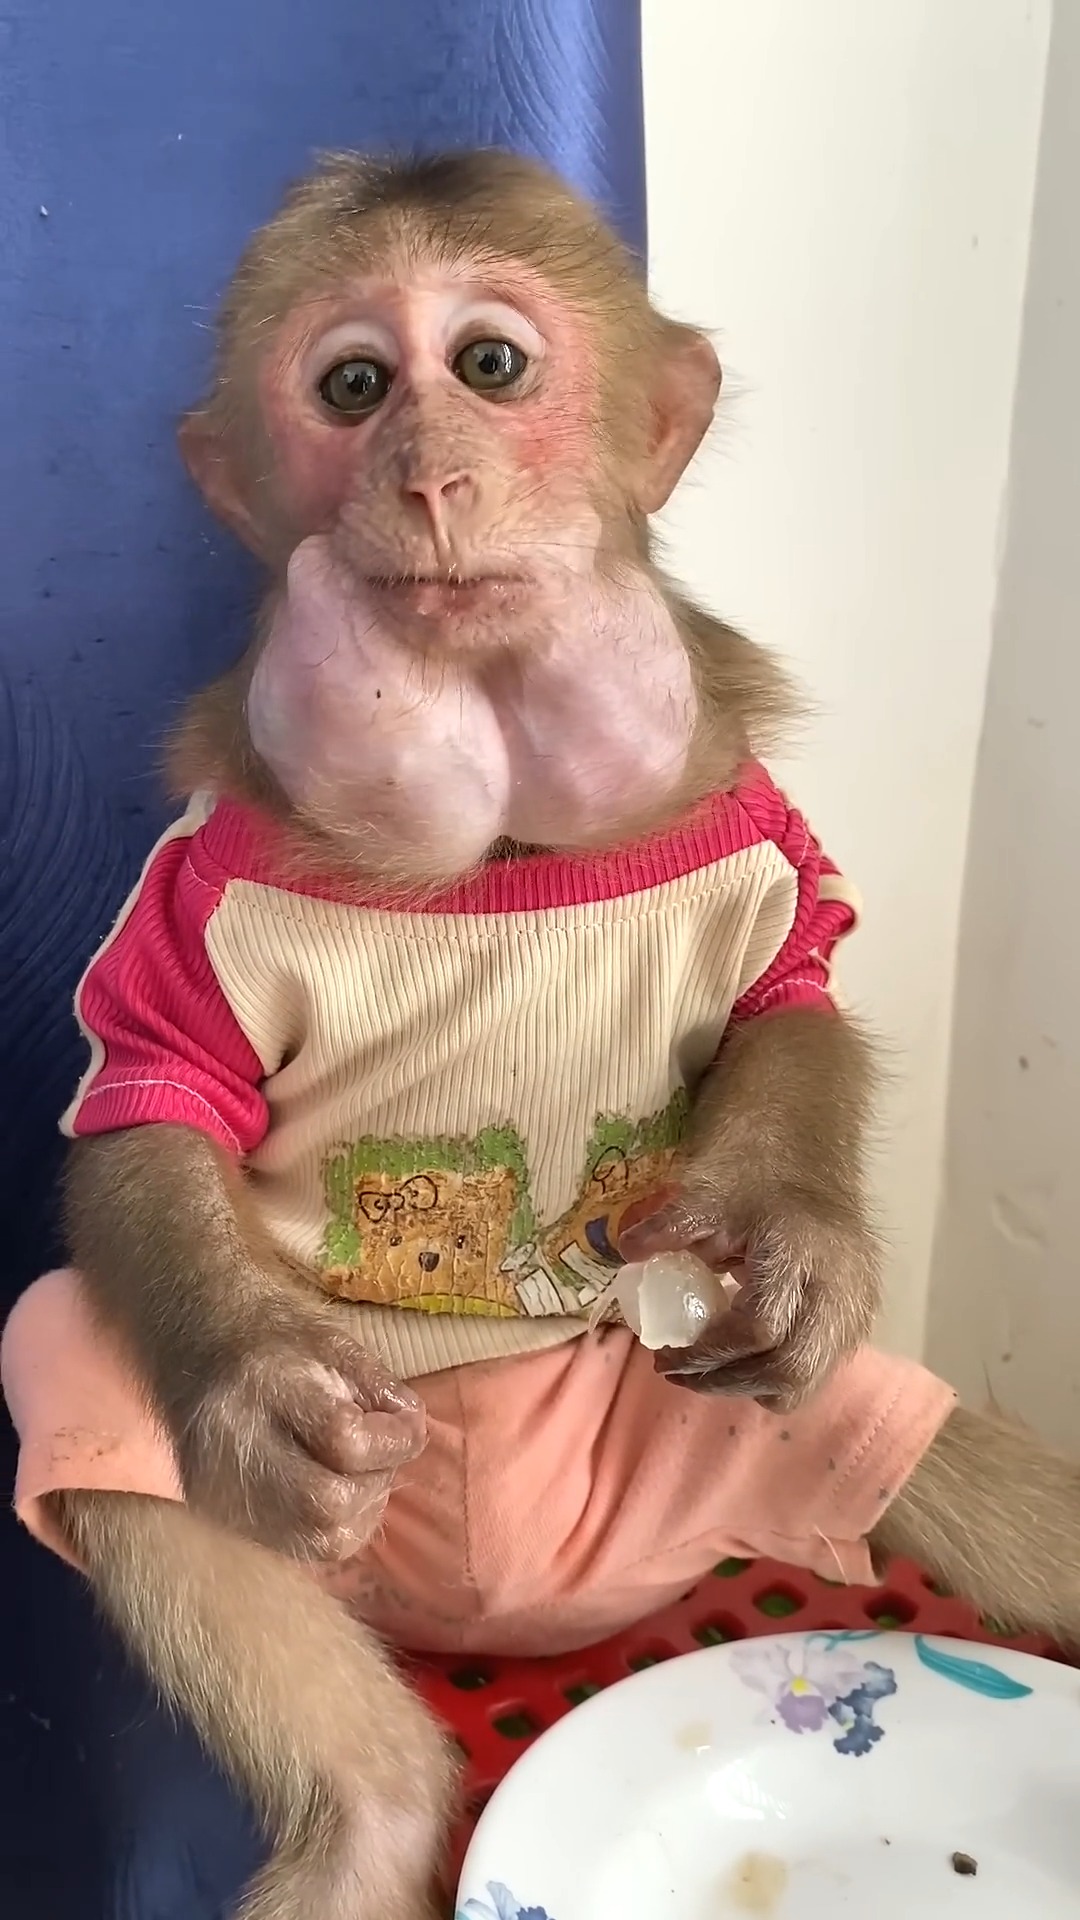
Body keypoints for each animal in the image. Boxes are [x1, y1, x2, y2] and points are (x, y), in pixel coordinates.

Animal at [4, 149, 1080, 1920]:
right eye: (353, 386)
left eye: (490, 366)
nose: (431, 475)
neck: (504, 842)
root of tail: (528, 1615)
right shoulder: (207, 875)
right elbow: (155, 1105)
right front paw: (257, 1392)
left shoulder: (736, 815)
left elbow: (794, 1000)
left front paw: (797, 1232)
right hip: (368, 1555)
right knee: (80, 1379)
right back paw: (371, 1814)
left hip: (725, 1446)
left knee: (888, 1425)